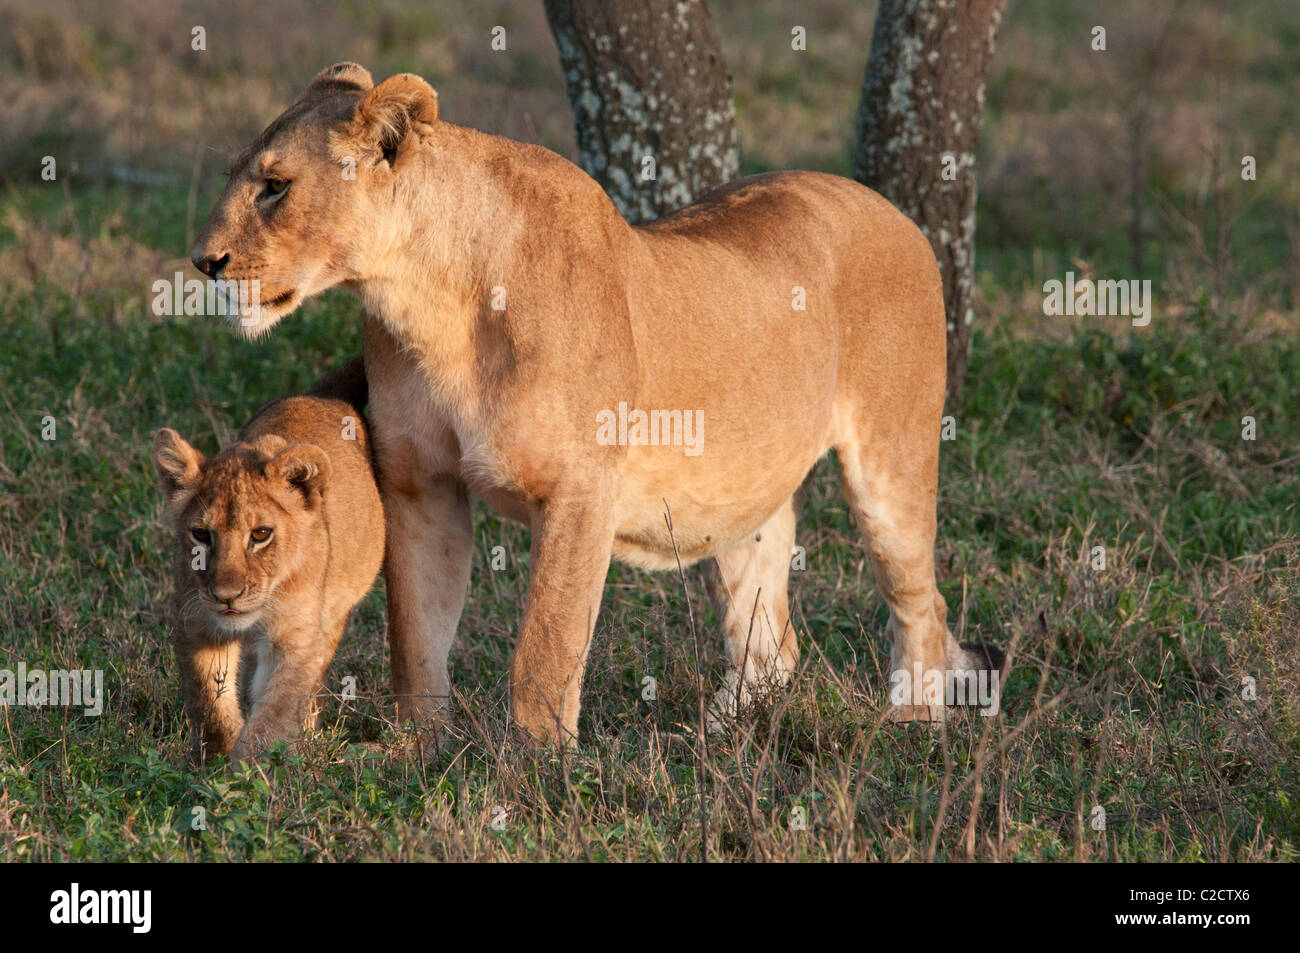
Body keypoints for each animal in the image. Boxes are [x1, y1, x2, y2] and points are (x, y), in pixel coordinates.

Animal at [152, 356, 384, 763]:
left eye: (260, 535)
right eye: (201, 535)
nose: (226, 596)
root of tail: (321, 395)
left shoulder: (296, 637)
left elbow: (274, 713)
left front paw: (248, 771)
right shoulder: (193, 621)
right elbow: (209, 703)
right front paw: (215, 758)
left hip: (334, 613)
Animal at [189, 62, 1004, 746]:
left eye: (274, 185)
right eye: (232, 176)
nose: (203, 261)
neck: (429, 298)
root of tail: (894, 211)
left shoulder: (580, 489)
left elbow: (545, 647)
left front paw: (536, 776)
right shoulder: (421, 485)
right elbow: (415, 636)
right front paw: (421, 753)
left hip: (892, 461)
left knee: (920, 605)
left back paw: (911, 731)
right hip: (742, 494)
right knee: (772, 641)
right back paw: (710, 741)